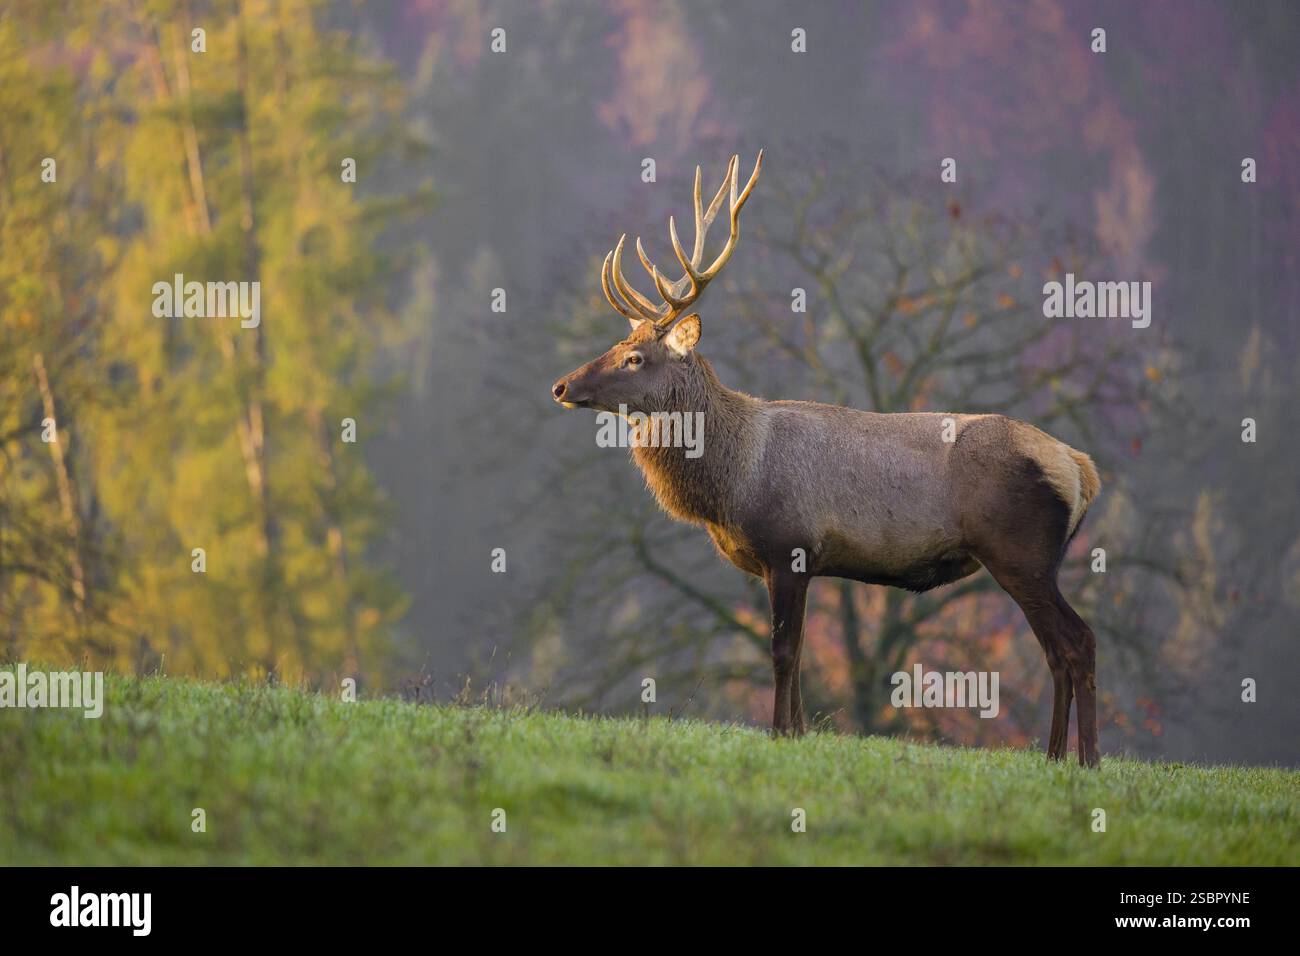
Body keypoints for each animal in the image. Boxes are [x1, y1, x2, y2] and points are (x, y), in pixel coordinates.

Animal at [551, 152, 1103, 767]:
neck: (732, 480)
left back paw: (1086, 759)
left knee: (1077, 642)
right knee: (1059, 650)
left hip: (1020, 552)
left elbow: (783, 651)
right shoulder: (800, 561)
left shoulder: (788, 543)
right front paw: (798, 732)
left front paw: (779, 734)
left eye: (634, 359)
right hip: (1035, 559)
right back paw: (1056, 756)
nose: (561, 385)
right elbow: (798, 654)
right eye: (618, 346)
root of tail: (1081, 469)